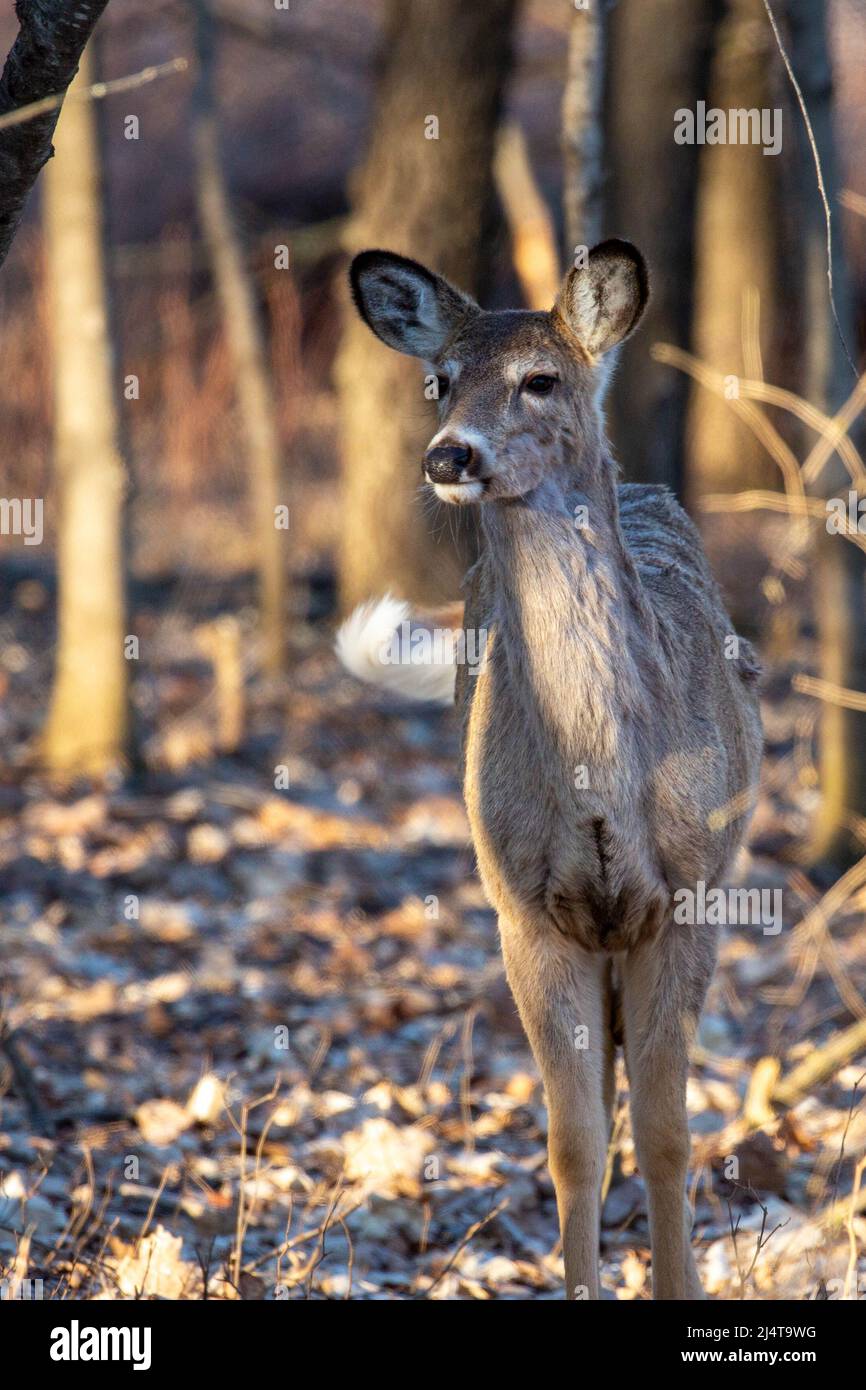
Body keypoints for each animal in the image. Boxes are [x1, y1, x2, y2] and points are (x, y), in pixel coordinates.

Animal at [337, 241, 763, 1300]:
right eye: (440, 380)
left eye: (541, 379)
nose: (448, 456)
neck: (601, 782)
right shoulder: (524, 908)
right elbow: (575, 1143)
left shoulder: (693, 893)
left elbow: (667, 1135)